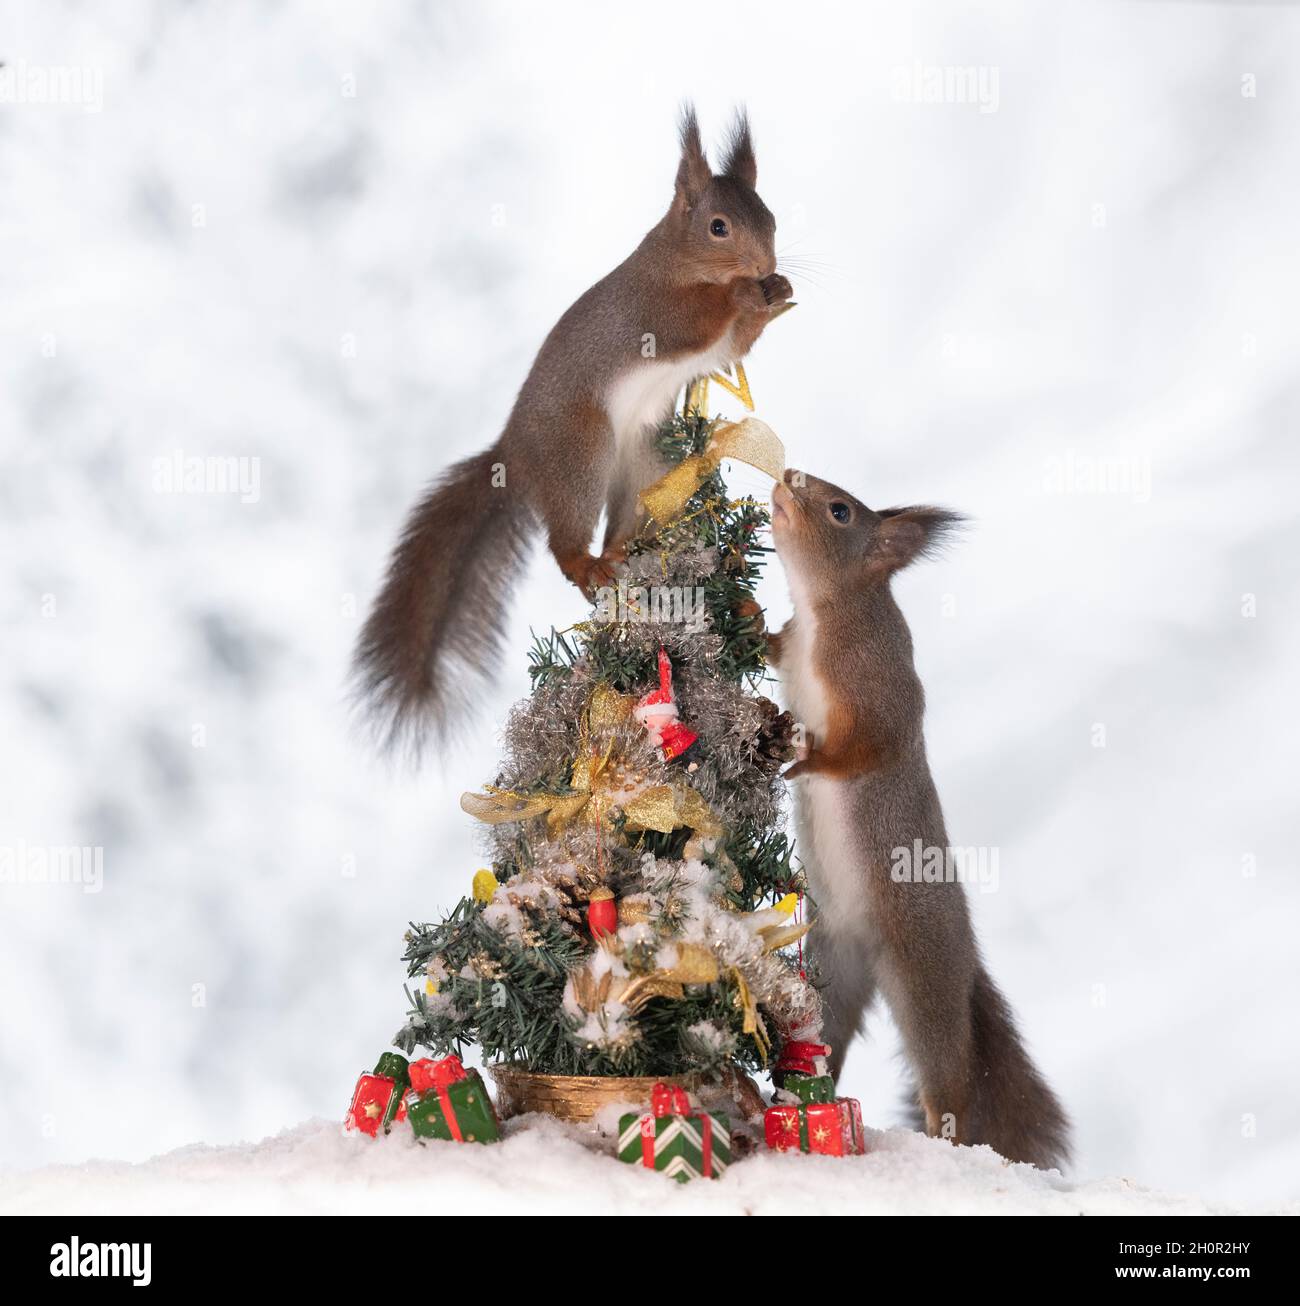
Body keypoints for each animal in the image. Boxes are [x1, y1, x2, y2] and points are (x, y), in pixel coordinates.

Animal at [354, 106, 793, 754]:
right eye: (718, 227)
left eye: (771, 218)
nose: (765, 268)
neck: (677, 260)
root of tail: (513, 454)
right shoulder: (652, 310)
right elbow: (695, 320)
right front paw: (745, 292)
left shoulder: (716, 349)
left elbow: (732, 345)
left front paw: (778, 292)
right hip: (579, 448)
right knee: (564, 543)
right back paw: (588, 567)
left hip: (644, 455)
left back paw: (619, 554)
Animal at [768, 470, 1071, 1170]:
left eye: (840, 511)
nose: (789, 476)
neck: (824, 612)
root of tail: (966, 960)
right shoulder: (792, 644)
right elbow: (771, 649)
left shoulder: (880, 689)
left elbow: (864, 750)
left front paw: (805, 761)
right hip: (833, 969)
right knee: (827, 1045)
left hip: (922, 972)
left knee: (948, 1076)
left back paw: (941, 1142)